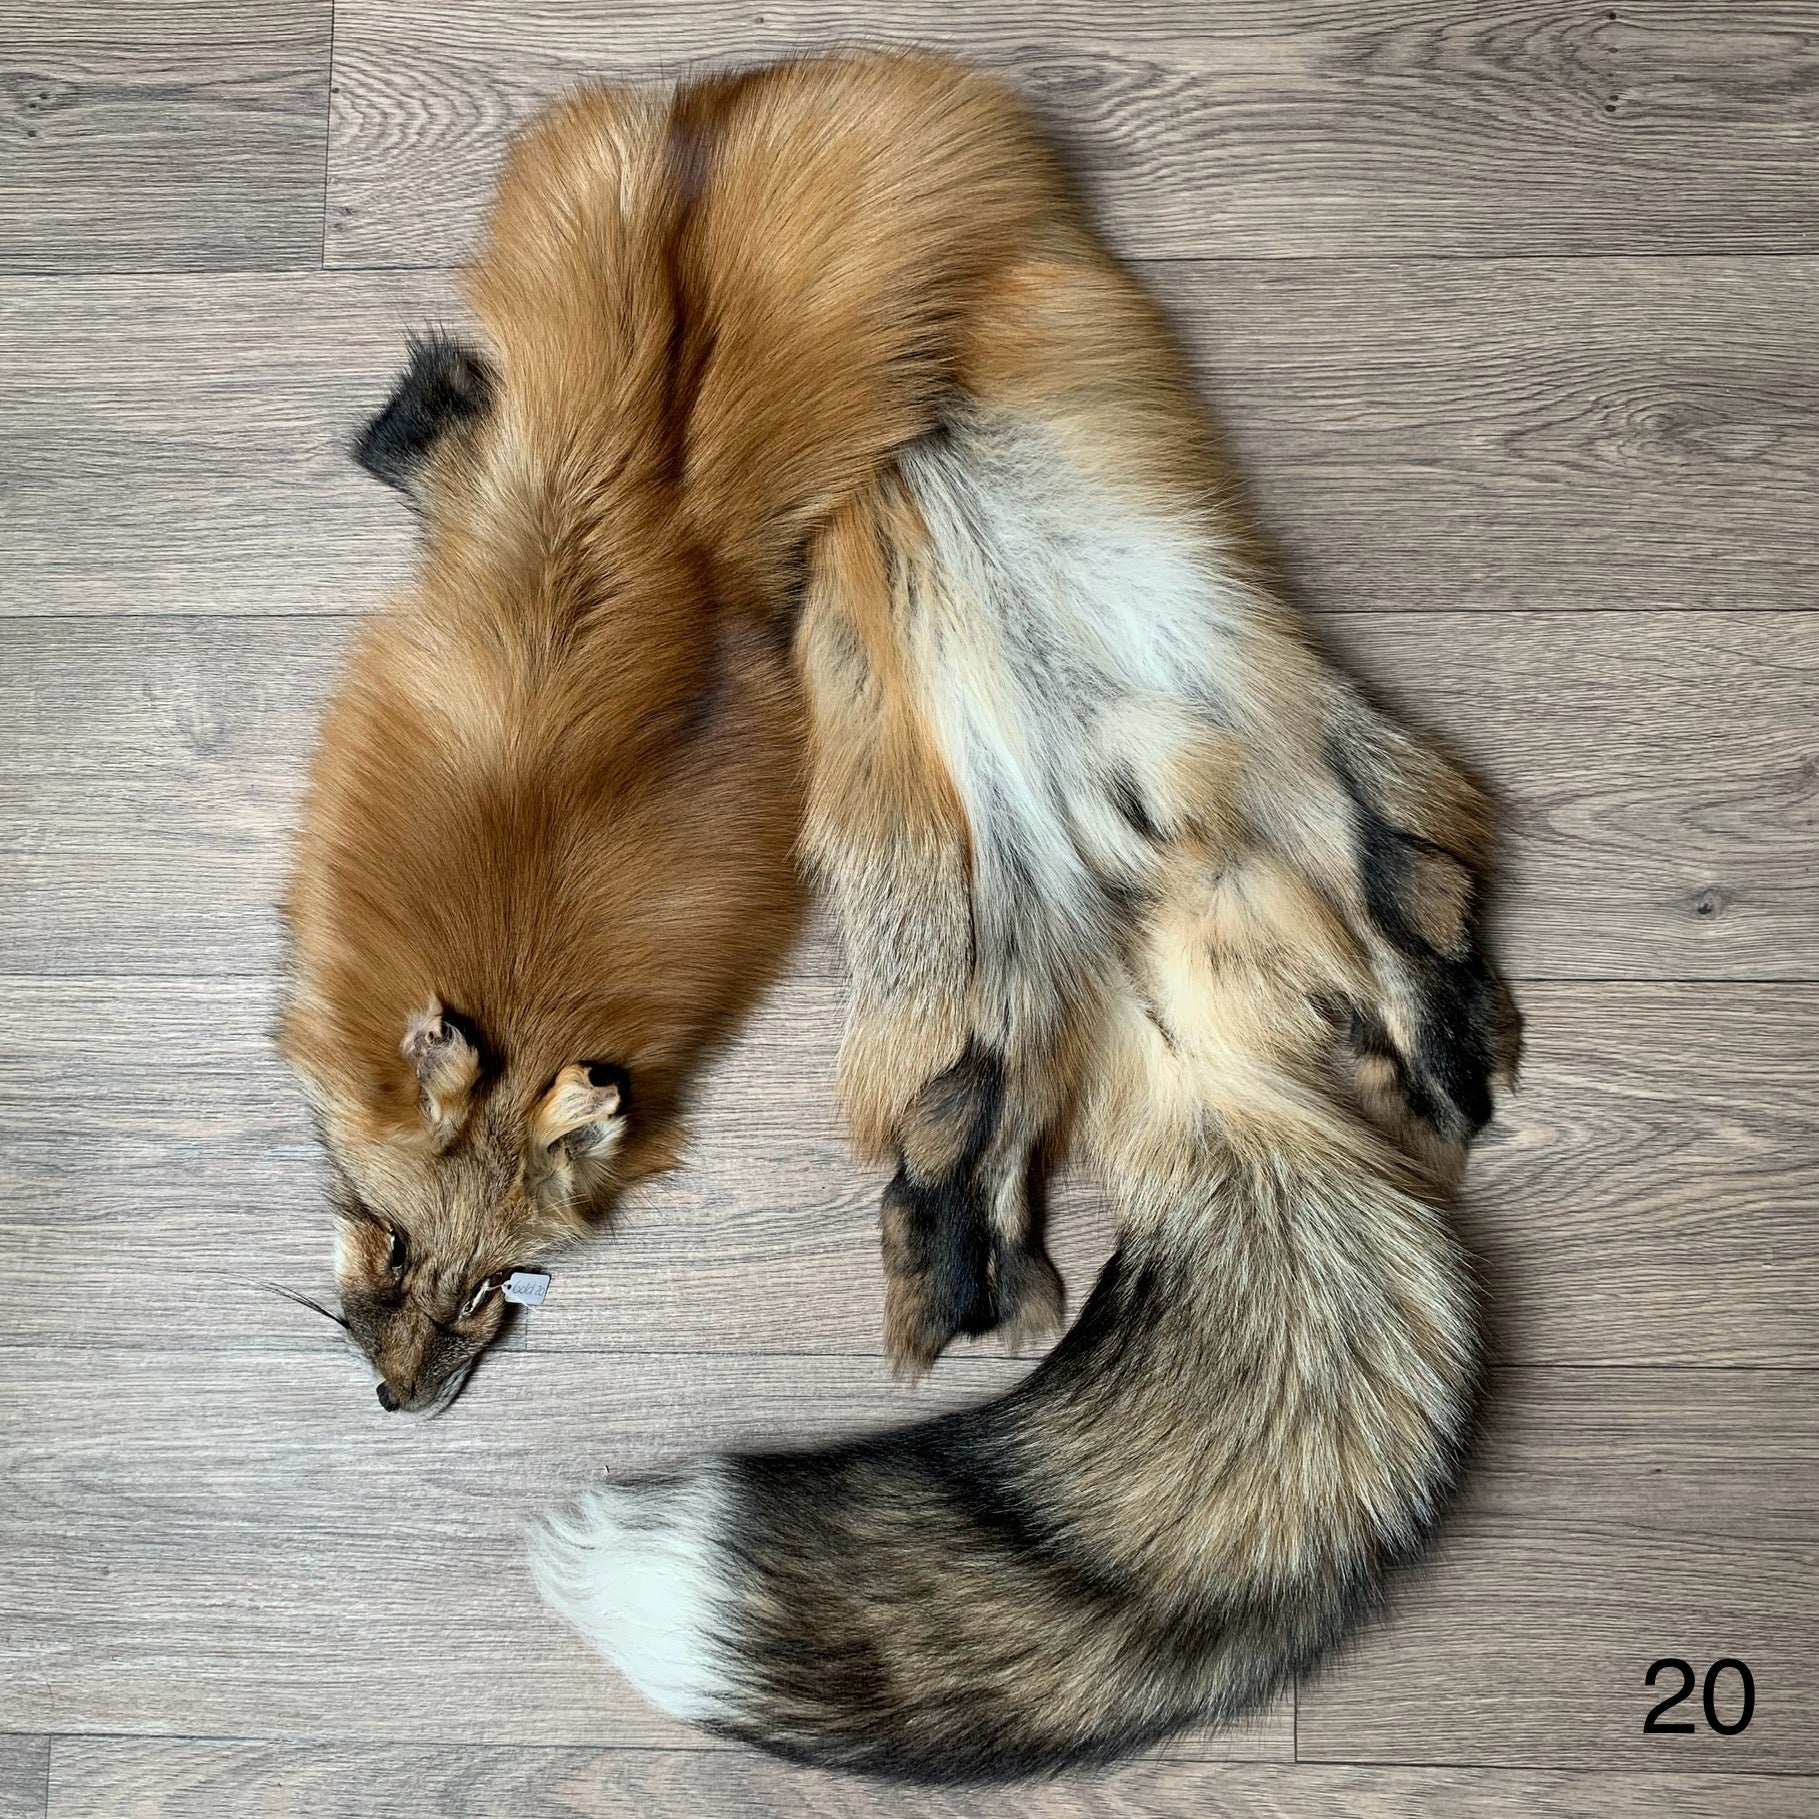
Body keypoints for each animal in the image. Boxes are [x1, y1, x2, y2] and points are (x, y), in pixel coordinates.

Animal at [282, 52, 1519, 1776]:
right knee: (1131, 1024)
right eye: (408, 1255)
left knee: (1376, 869)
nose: (400, 1405)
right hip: (998, 852)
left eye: (495, 1289)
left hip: (1079, 791)